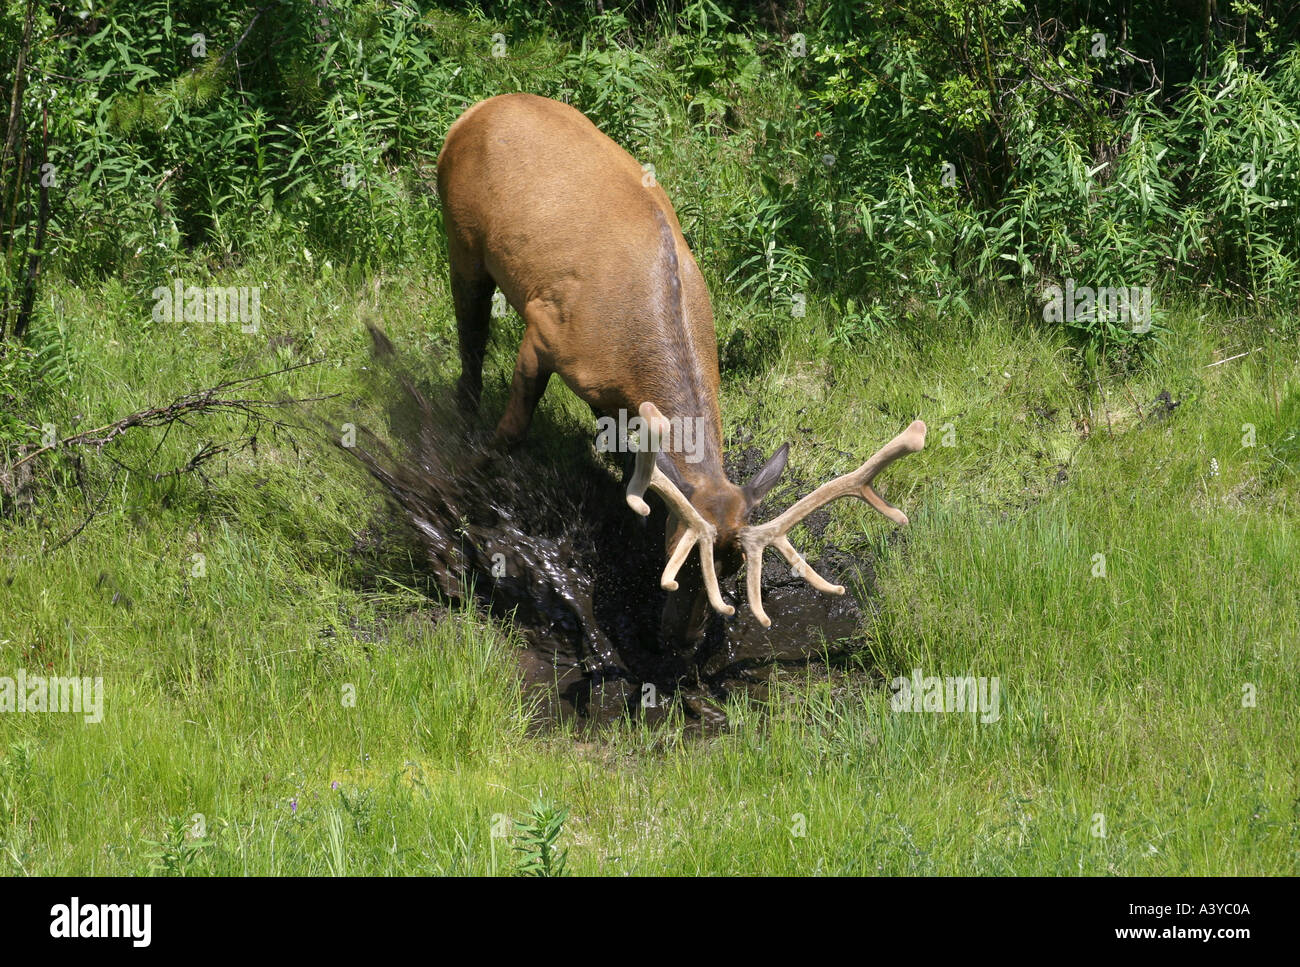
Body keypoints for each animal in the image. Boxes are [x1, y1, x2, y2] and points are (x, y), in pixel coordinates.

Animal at [436, 93, 925, 641]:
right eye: (681, 558)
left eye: (734, 568)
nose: (682, 639)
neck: (631, 353)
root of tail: (475, 111)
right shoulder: (544, 329)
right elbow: (512, 429)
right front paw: (461, 486)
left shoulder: (615, 398)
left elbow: (630, 469)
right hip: (462, 237)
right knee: (471, 340)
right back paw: (460, 415)